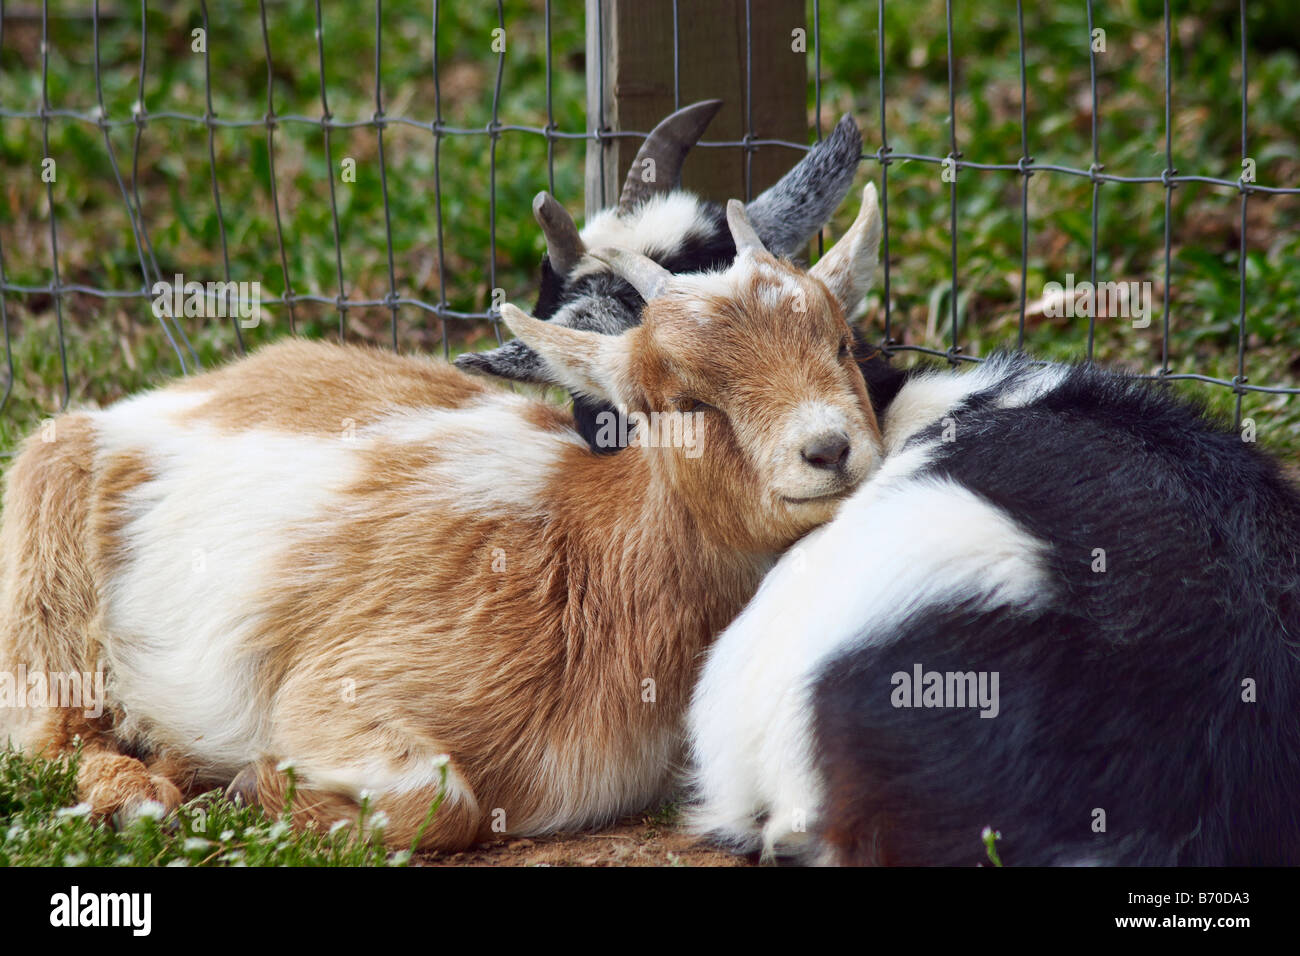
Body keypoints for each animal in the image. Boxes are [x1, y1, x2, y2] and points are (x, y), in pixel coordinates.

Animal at [0, 189, 884, 850]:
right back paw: (140, 790)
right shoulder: (348, 681)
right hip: (46, 584)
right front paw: (260, 785)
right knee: (53, 735)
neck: (594, 555)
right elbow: (438, 799)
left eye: (843, 345)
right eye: (685, 402)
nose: (829, 449)